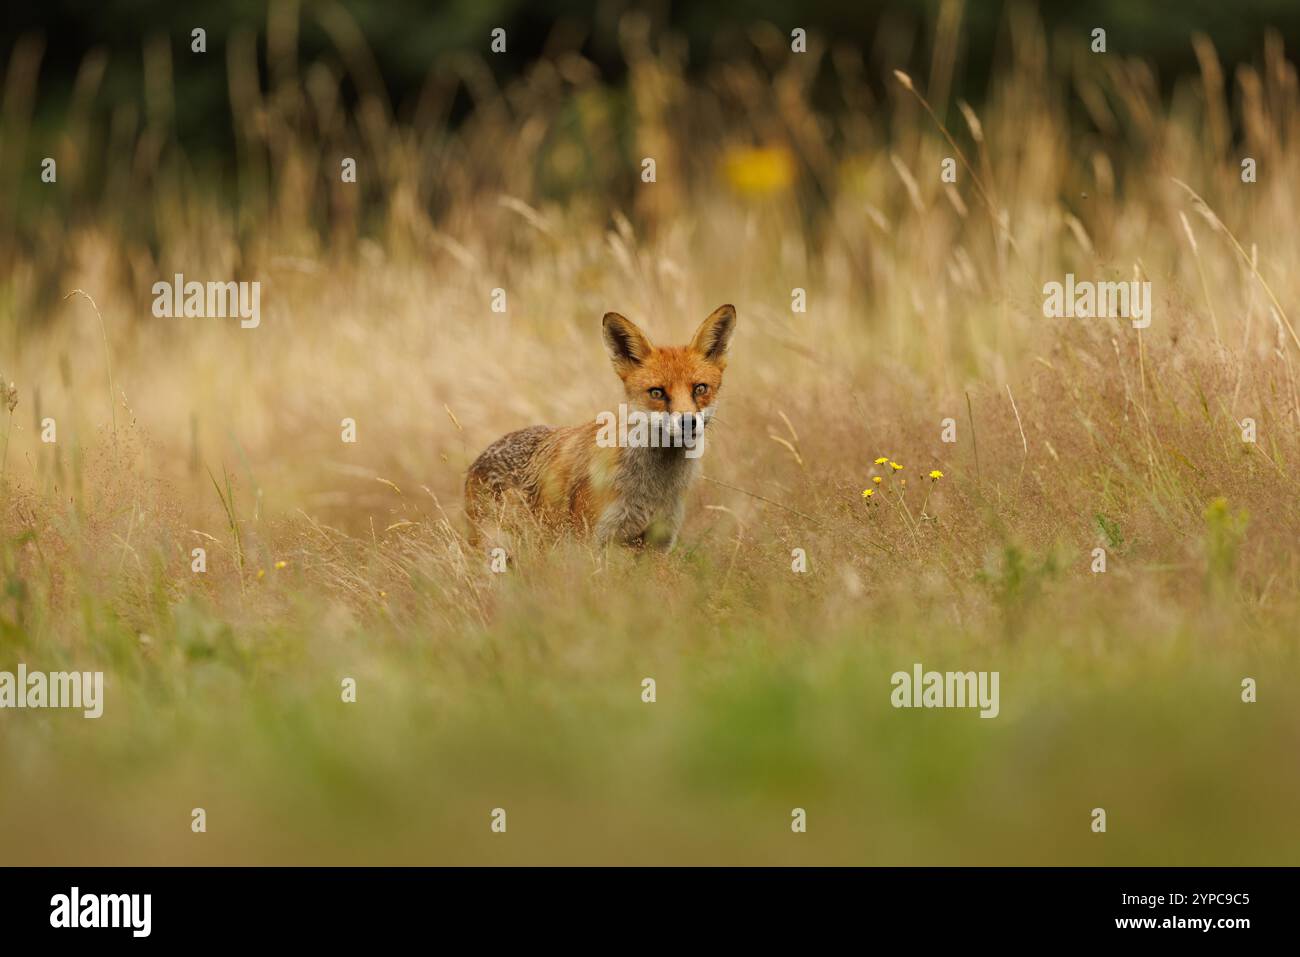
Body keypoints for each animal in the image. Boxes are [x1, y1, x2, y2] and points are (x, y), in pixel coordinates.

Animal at [465, 304, 737, 550]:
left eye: (700, 389)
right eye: (657, 393)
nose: (688, 421)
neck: (652, 489)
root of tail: (479, 458)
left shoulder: (659, 543)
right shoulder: (590, 541)